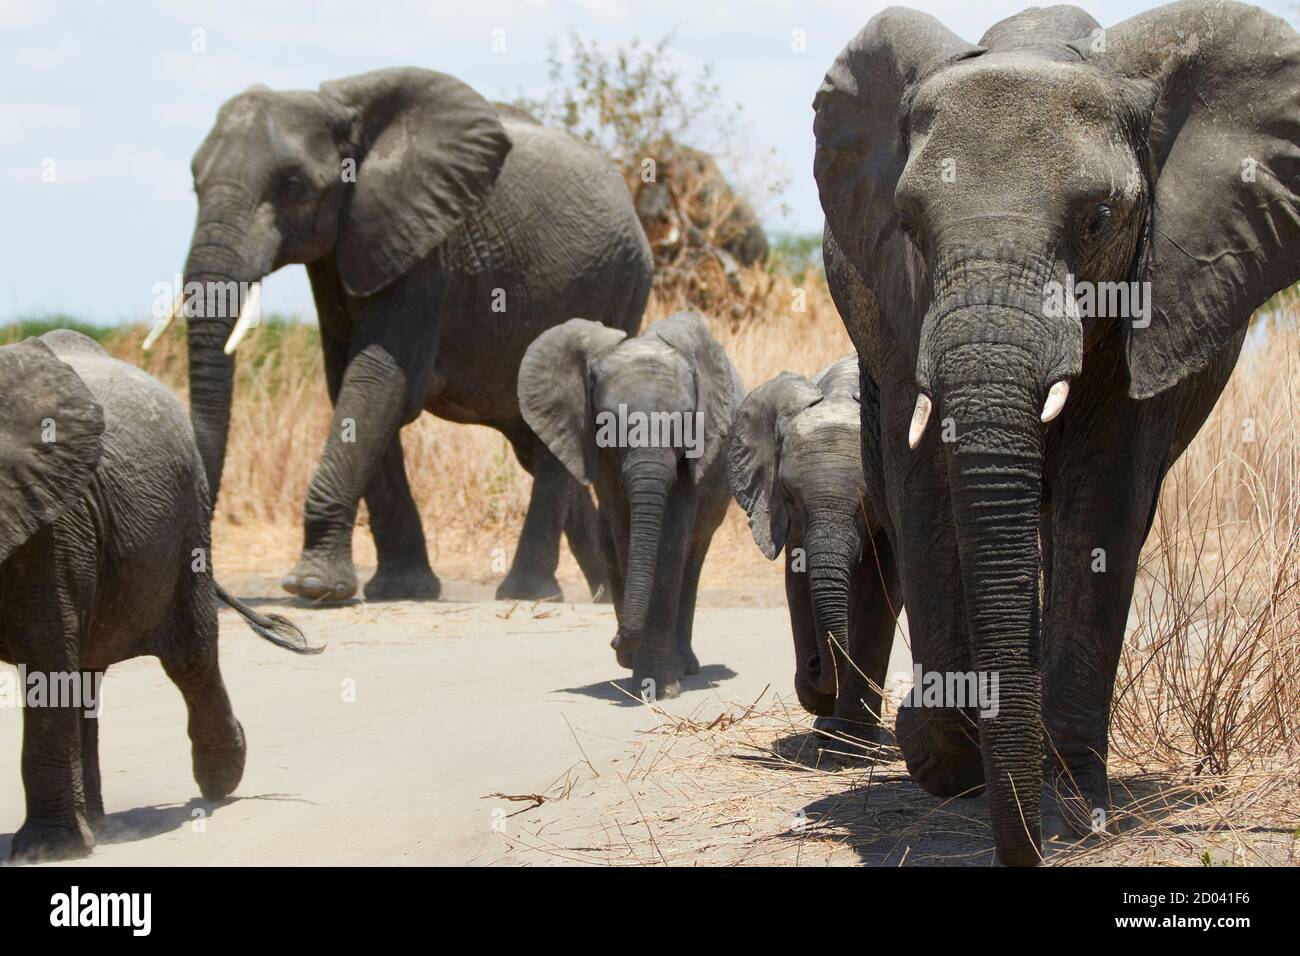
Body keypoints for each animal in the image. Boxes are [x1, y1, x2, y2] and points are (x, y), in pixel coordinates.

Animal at [0, 330, 317, 862]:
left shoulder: (48, 518)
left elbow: (46, 666)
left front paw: (45, 852)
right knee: (89, 674)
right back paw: (97, 824)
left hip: (189, 520)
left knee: (191, 657)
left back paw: (221, 779)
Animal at [171, 68, 653, 604]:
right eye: (193, 182)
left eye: (293, 184)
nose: (212, 580)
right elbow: (348, 384)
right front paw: (401, 590)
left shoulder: (428, 251)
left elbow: (378, 380)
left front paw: (313, 588)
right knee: (540, 442)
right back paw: (602, 596)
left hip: (616, 287)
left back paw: (528, 594)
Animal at [518, 312, 742, 700]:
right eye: (608, 423)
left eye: (685, 421)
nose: (615, 641)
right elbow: (625, 531)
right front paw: (645, 680)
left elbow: (671, 542)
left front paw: (659, 687)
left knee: (693, 555)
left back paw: (684, 666)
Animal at [729, 357, 901, 747]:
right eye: (791, 497)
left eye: (867, 504)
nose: (811, 663)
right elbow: (797, 584)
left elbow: (878, 595)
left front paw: (851, 741)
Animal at [813, 2, 1300, 864]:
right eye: (909, 227)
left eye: (1099, 219)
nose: (1032, 845)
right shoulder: (902, 318)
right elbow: (924, 491)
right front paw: (942, 752)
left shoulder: (1154, 291)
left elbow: (1103, 499)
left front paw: (1073, 814)